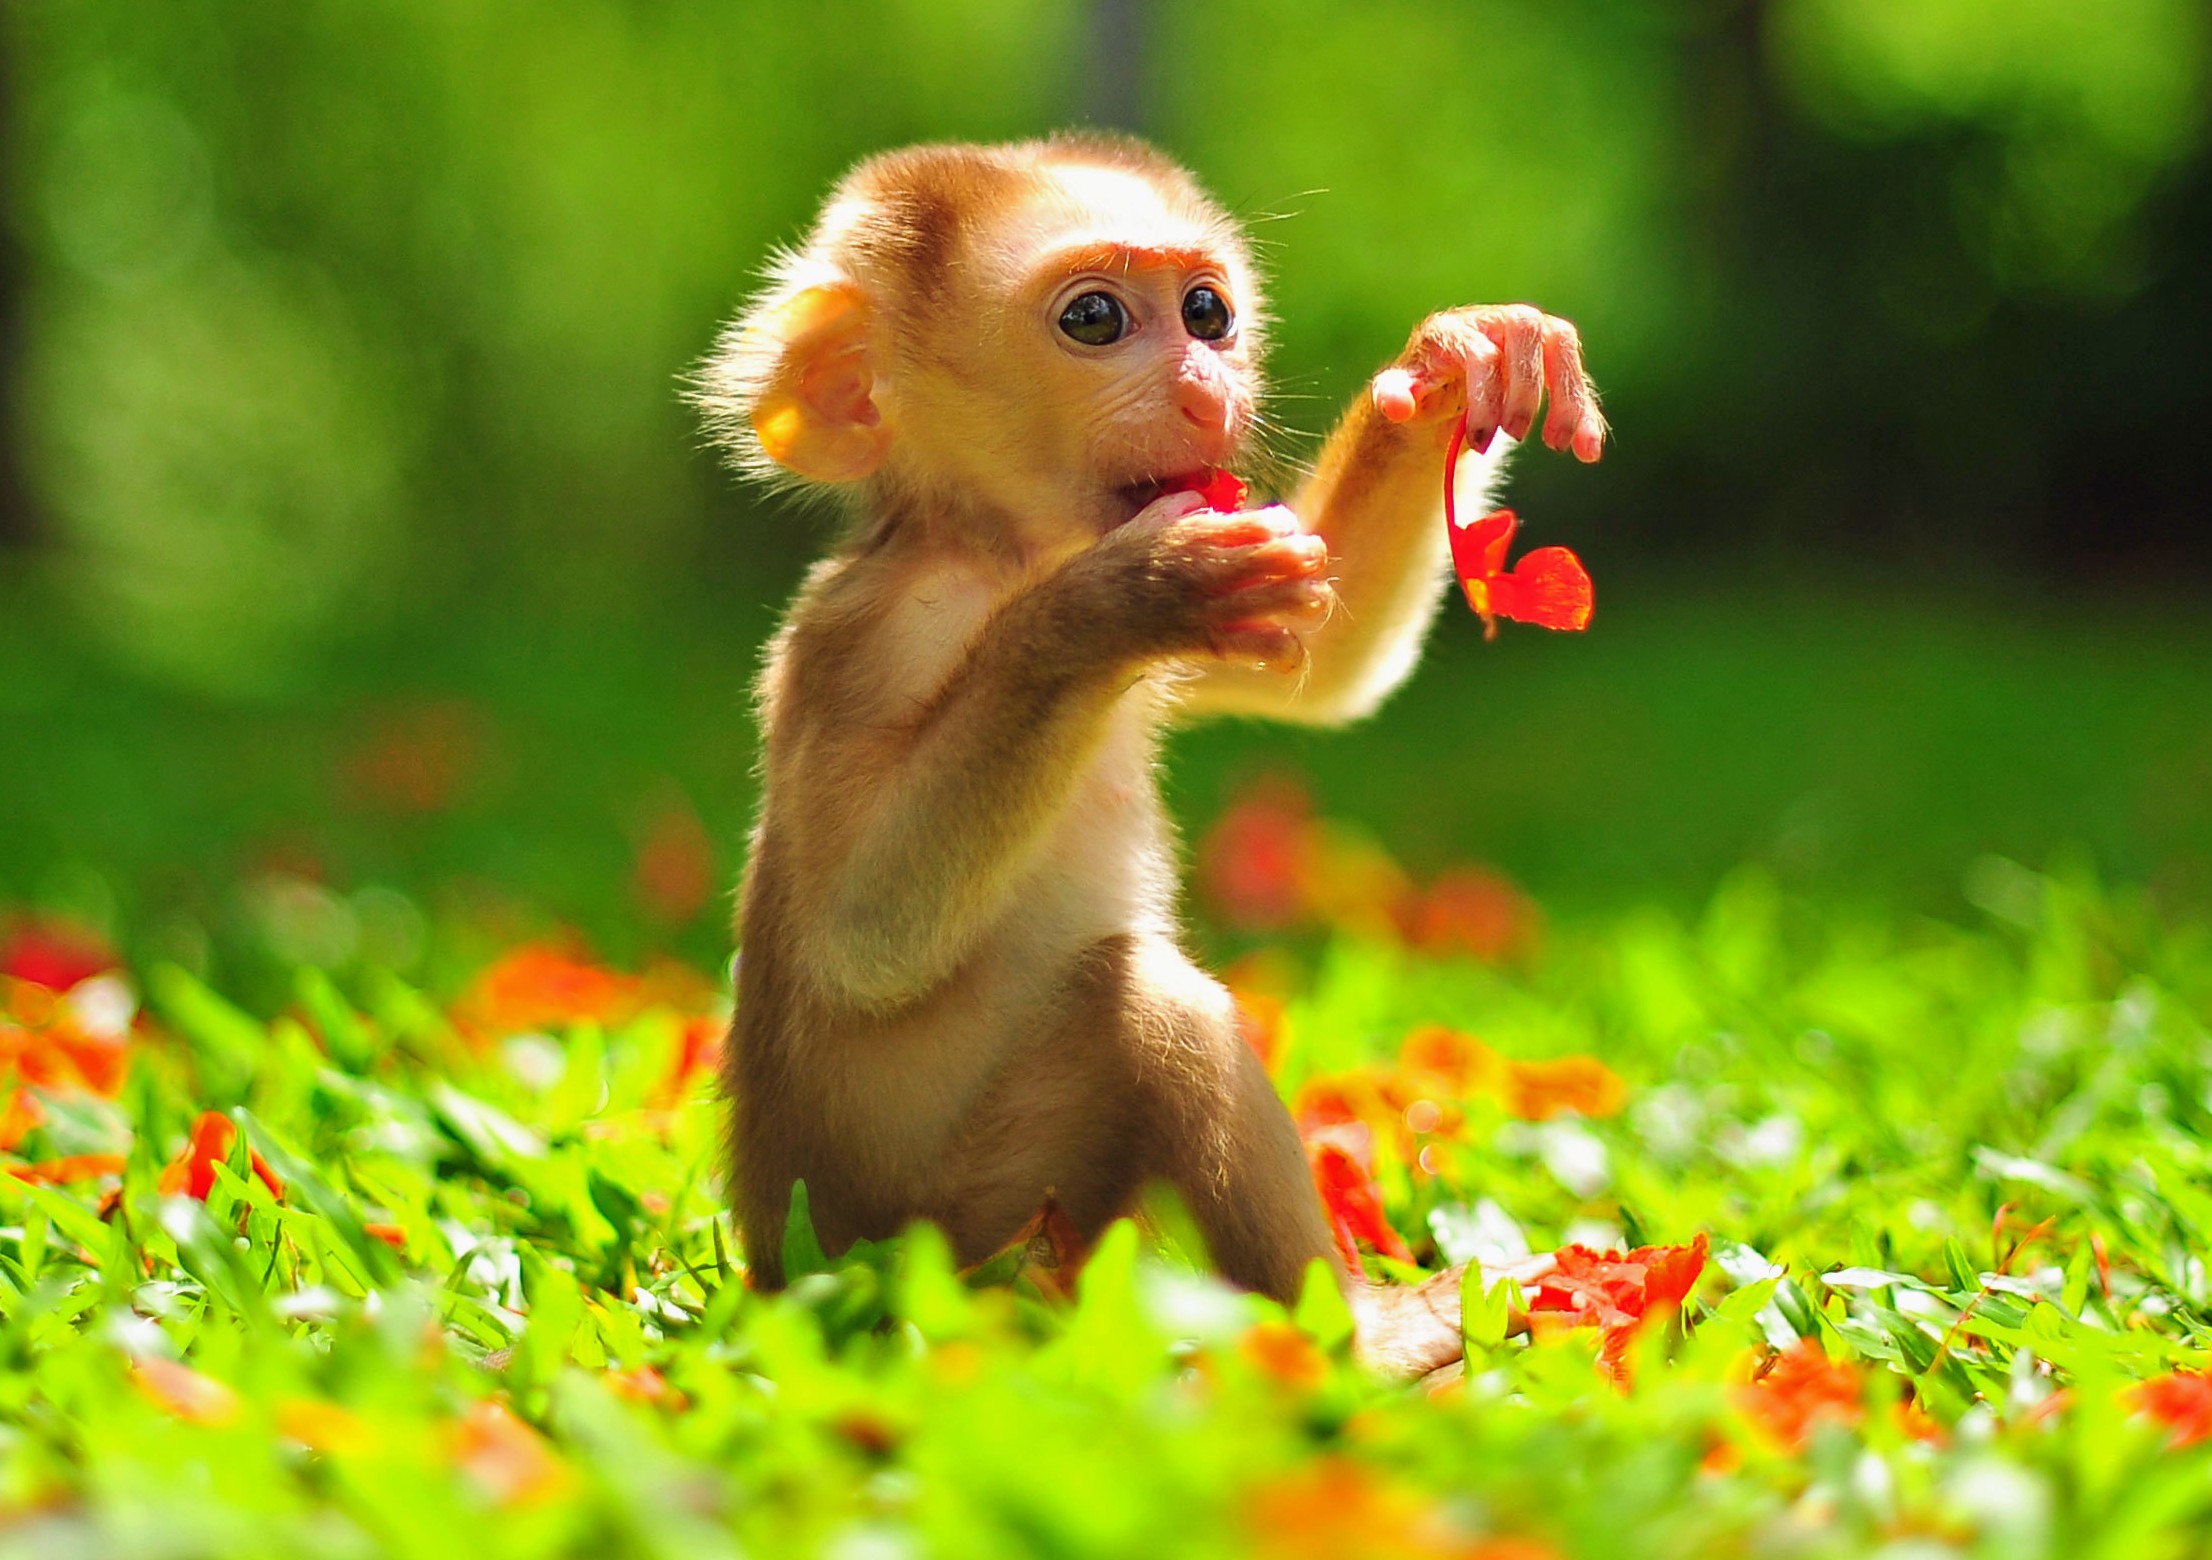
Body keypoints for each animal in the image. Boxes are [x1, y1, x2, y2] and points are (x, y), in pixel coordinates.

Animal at [694, 135, 1604, 1377]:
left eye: (1207, 312)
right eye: (1094, 318)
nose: (1205, 388)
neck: (1003, 550)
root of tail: (787, 1271)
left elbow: (1327, 665)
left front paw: (1455, 368)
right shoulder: (877, 635)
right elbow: (863, 935)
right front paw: (1122, 599)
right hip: (962, 1237)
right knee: (1148, 1013)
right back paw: (1366, 1337)